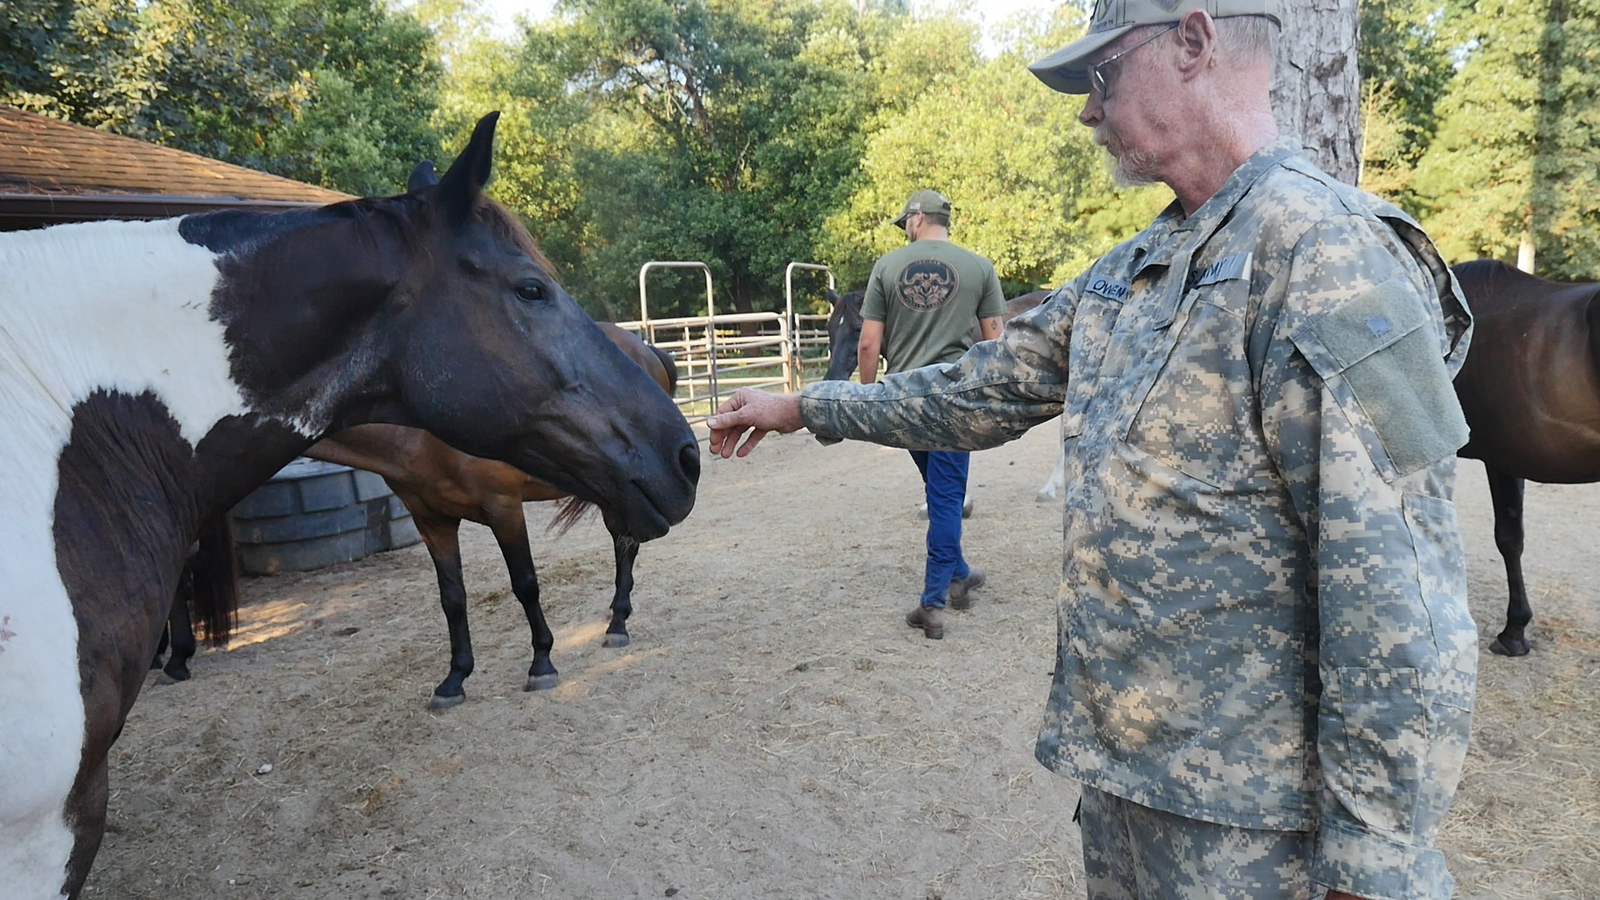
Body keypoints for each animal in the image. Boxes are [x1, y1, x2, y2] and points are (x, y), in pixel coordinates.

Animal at [155, 321, 680, 709]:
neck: (417, 427)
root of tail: (645, 348)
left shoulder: (504, 508)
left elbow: (525, 585)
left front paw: (542, 664)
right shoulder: (432, 520)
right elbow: (452, 599)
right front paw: (454, 679)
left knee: (625, 546)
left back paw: (617, 625)